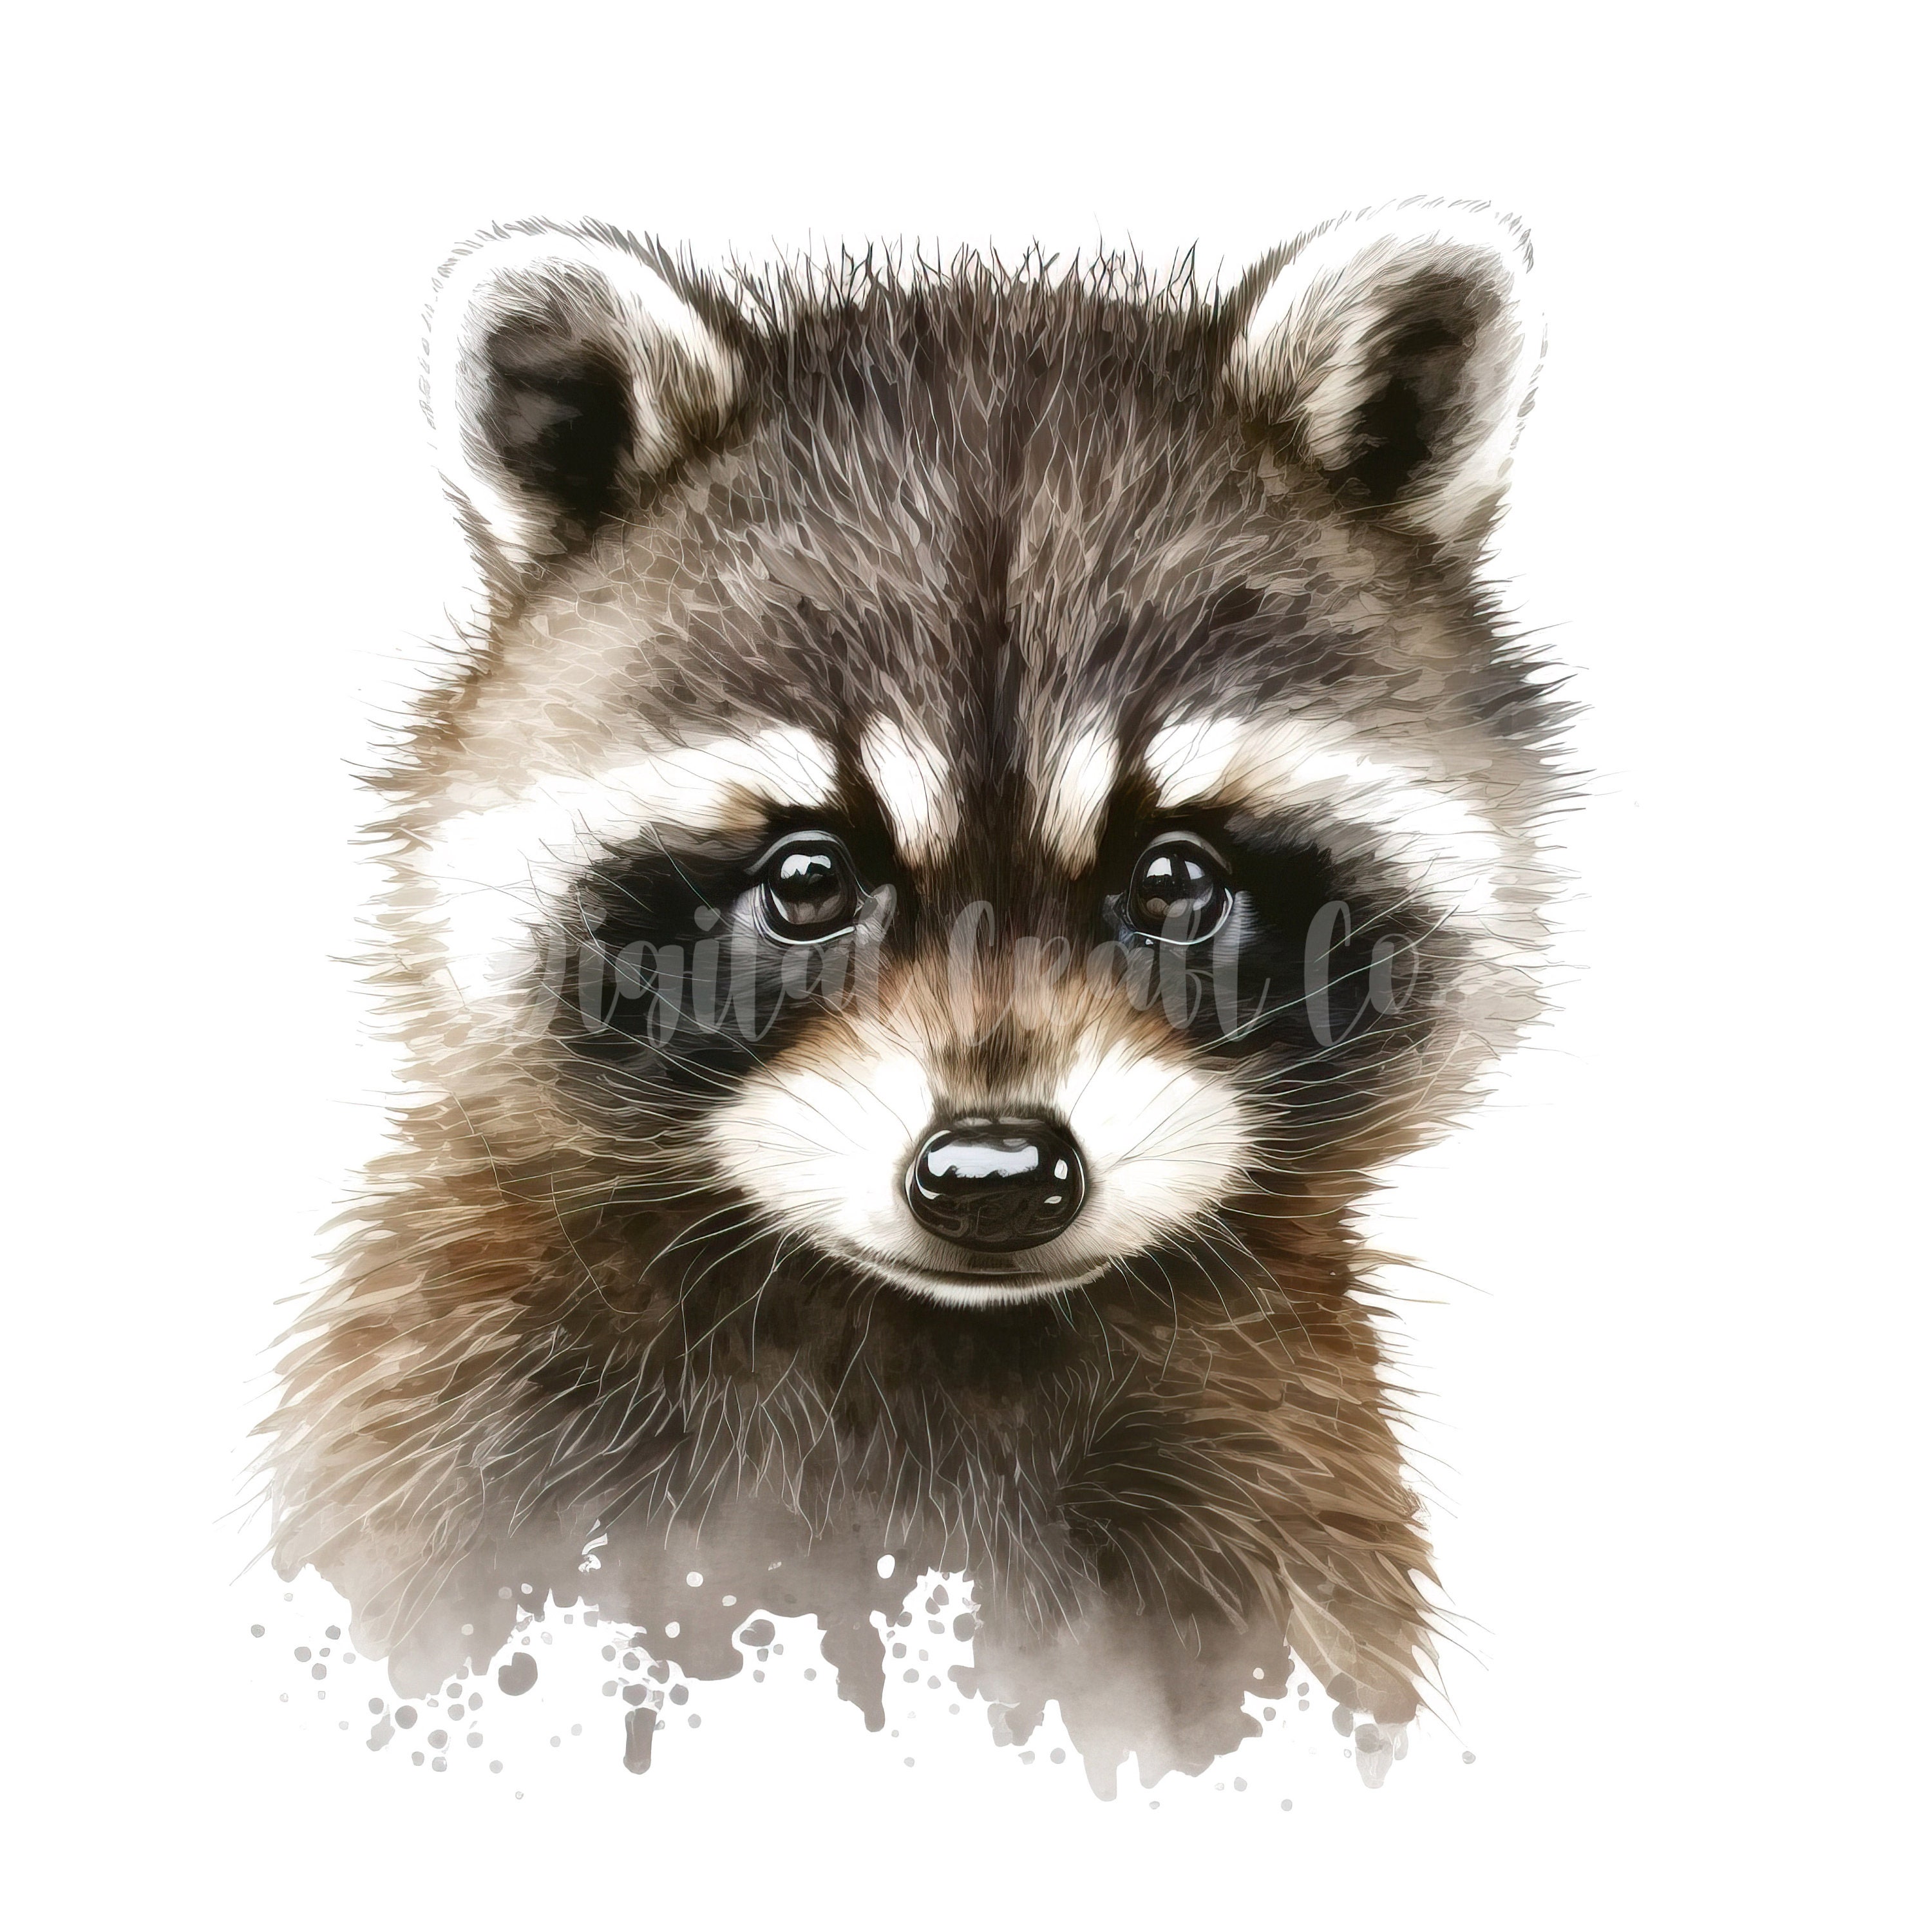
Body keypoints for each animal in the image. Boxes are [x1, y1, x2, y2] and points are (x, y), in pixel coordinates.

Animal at [265, 202, 1563, 1792]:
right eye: (810, 877)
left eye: (1176, 878)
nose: (995, 1177)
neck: (934, 1336)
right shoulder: (462, 1426)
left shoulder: (1274, 1500)